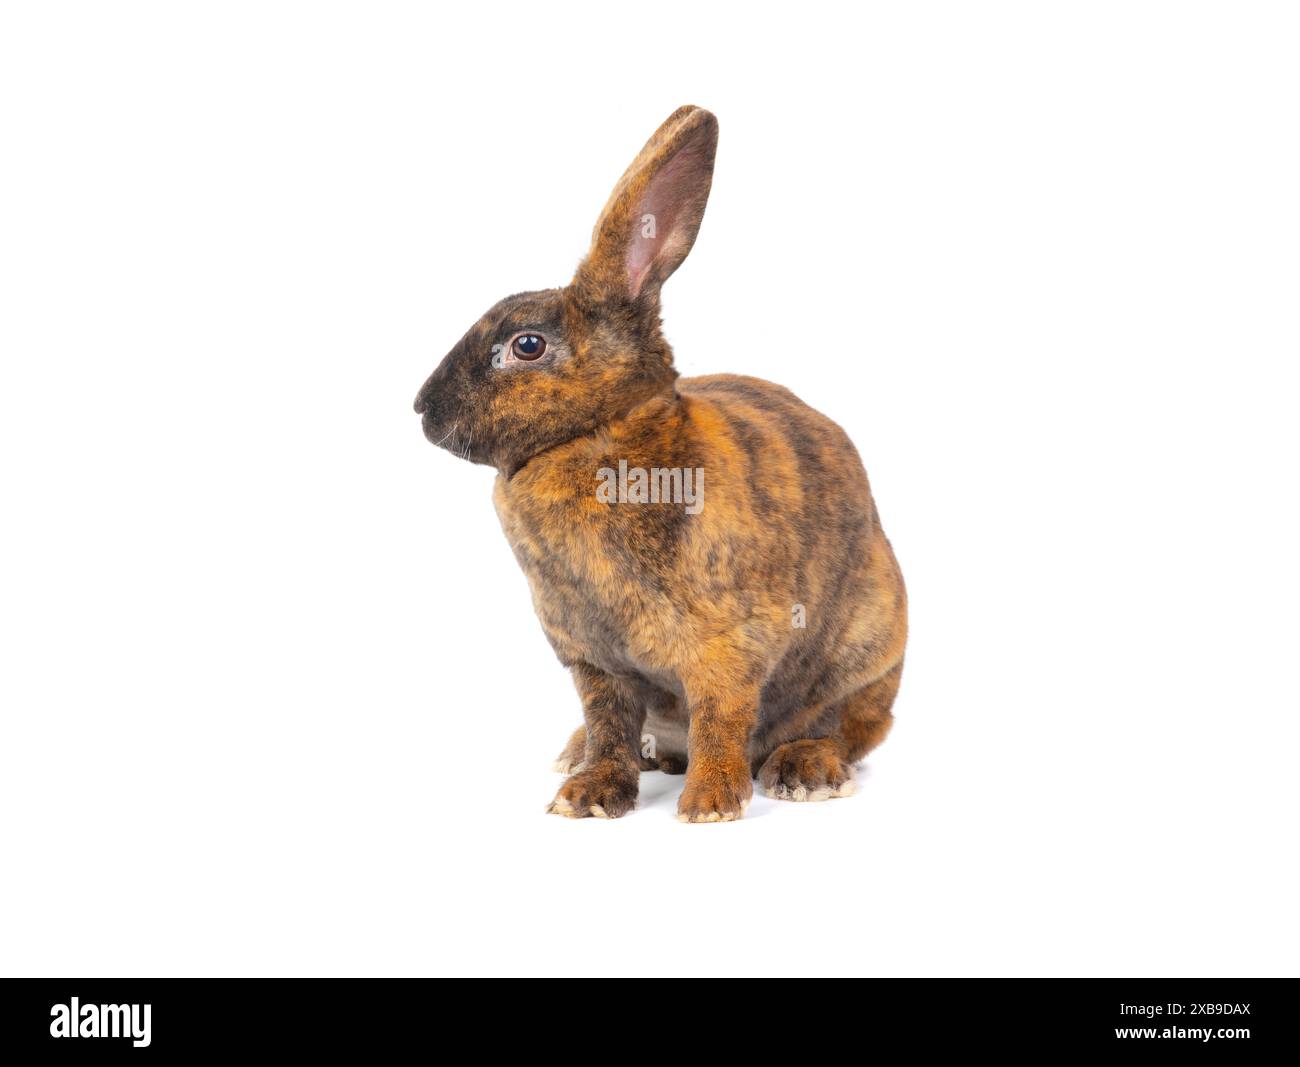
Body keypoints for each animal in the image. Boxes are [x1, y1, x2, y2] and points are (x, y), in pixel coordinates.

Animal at [413, 106, 907, 822]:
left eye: (527, 345)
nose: (422, 407)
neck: (598, 436)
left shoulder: (728, 649)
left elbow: (721, 719)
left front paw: (709, 806)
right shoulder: (594, 662)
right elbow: (609, 724)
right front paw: (588, 797)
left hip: (865, 658)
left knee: (839, 727)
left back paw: (805, 772)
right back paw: (587, 754)